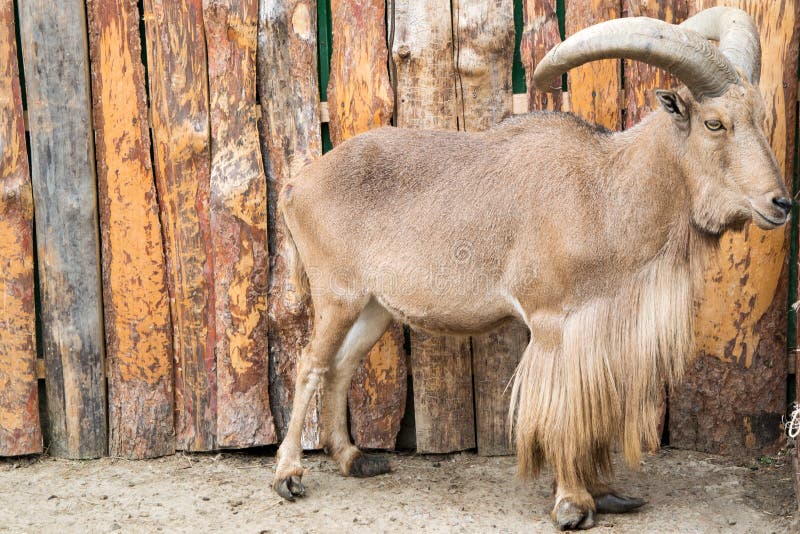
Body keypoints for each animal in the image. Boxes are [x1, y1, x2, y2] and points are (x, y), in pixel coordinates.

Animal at [270, 7, 791, 530]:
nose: (781, 203)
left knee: (341, 365)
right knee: (310, 364)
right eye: (714, 123)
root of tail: (296, 185)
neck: (607, 191)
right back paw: (288, 475)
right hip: (337, 294)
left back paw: (353, 459)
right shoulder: (551, 321)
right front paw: (572, 504)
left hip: (374, 306)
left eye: (761, 117)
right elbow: (560, 409)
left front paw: (606, 493)